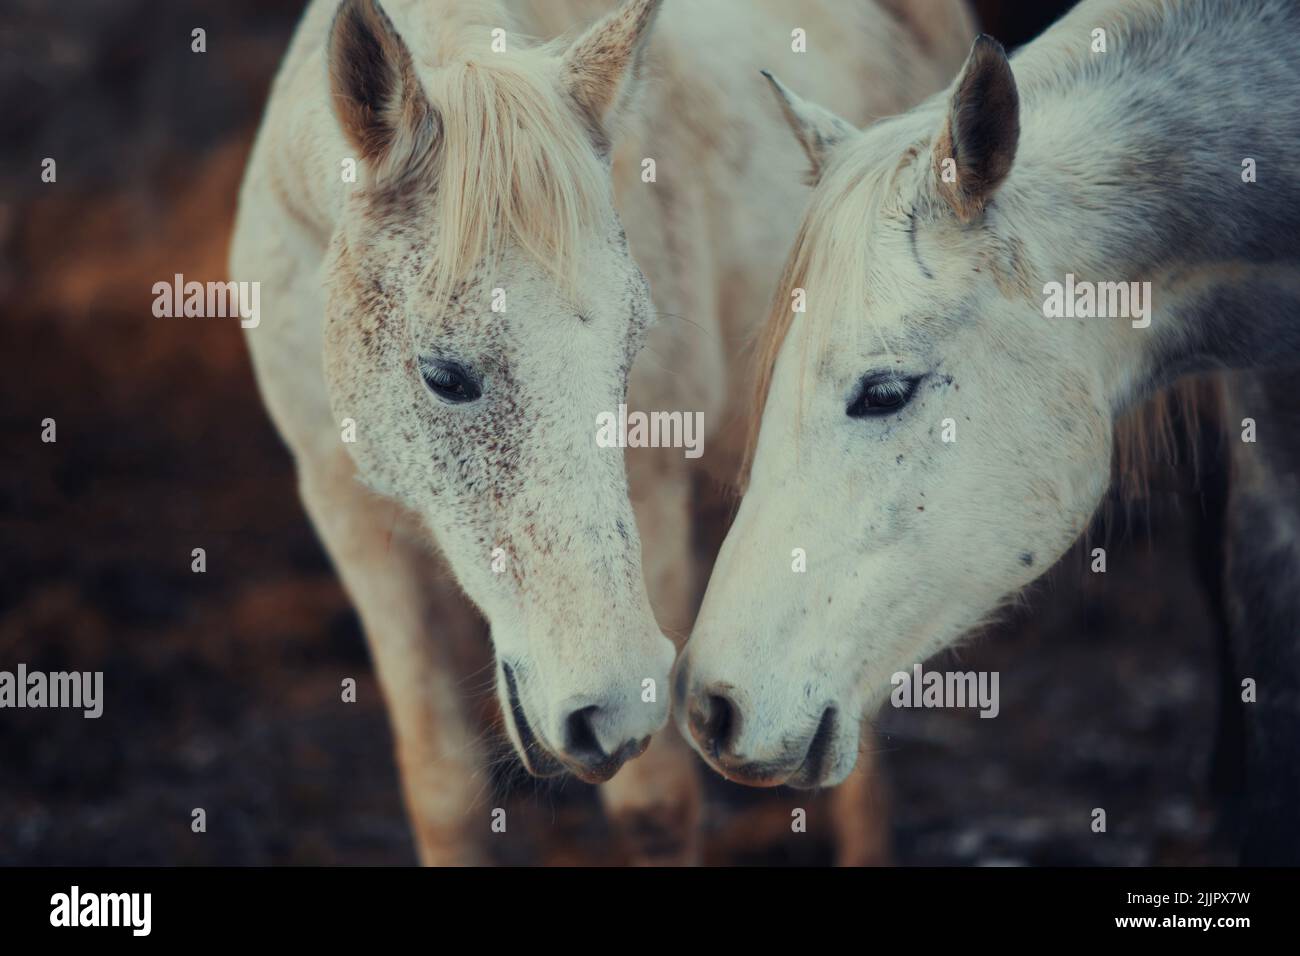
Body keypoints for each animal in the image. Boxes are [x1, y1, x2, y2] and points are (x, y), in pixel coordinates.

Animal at [229, 0, 974, 864]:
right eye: (442, 376)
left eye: (632, 342)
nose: (608, 708)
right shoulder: (345, 512)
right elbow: (442, 787)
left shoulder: (654, 489)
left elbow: (656, 807)